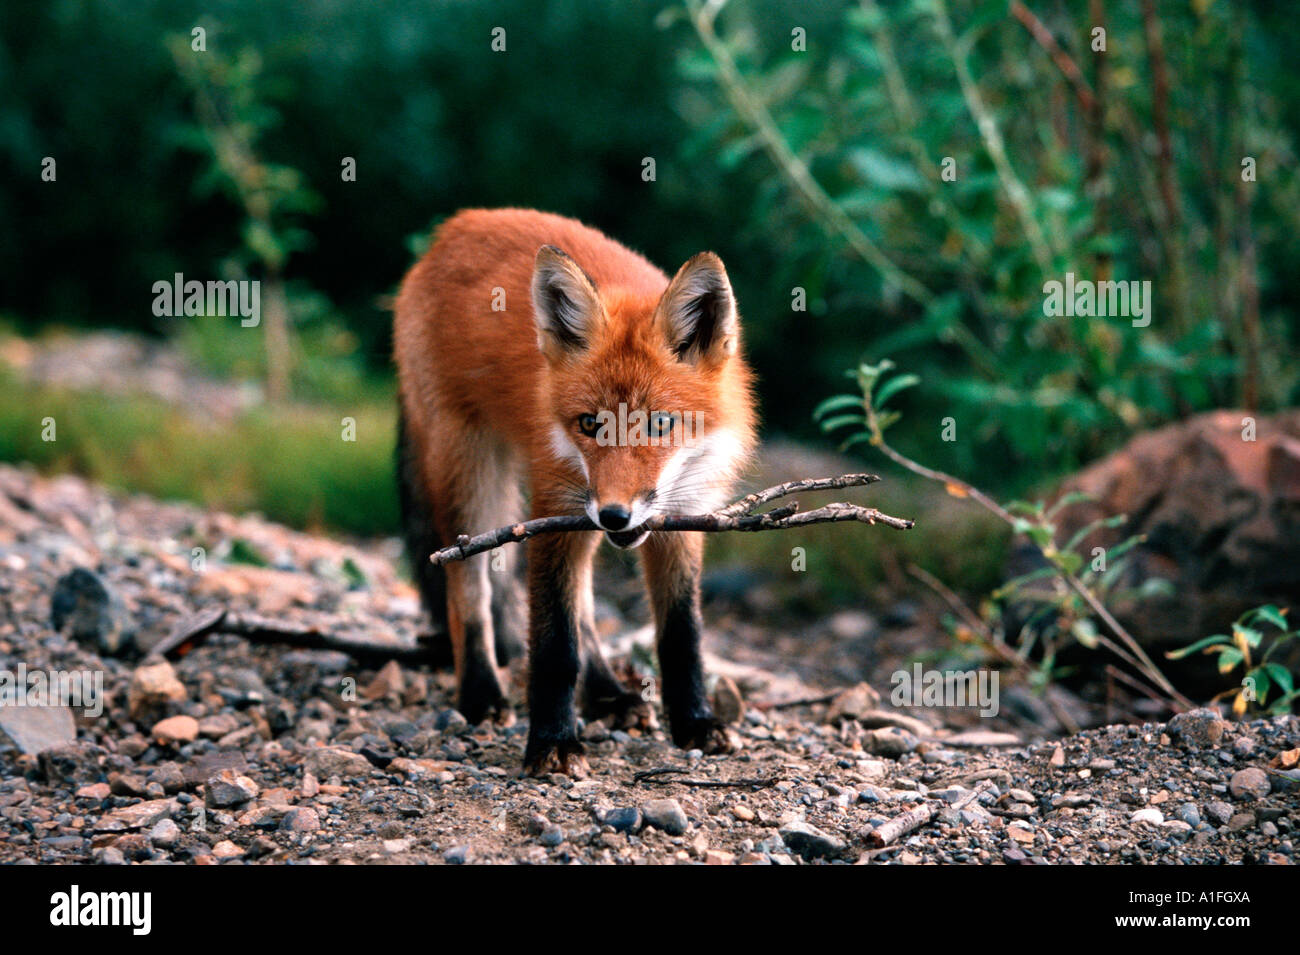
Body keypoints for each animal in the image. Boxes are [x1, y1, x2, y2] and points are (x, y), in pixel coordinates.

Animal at [393, 208, 757, 776]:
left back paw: (607, 695)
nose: (615, 515)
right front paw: (553, 741)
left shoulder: (682, 519)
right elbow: (553, 645)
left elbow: (681, 635)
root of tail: (455, 226)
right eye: (590, 424)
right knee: (467, 589)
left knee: (583, 603)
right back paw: (481, 693)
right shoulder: (555, 515)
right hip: (472, 474)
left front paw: (695, 722)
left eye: (660, 424)